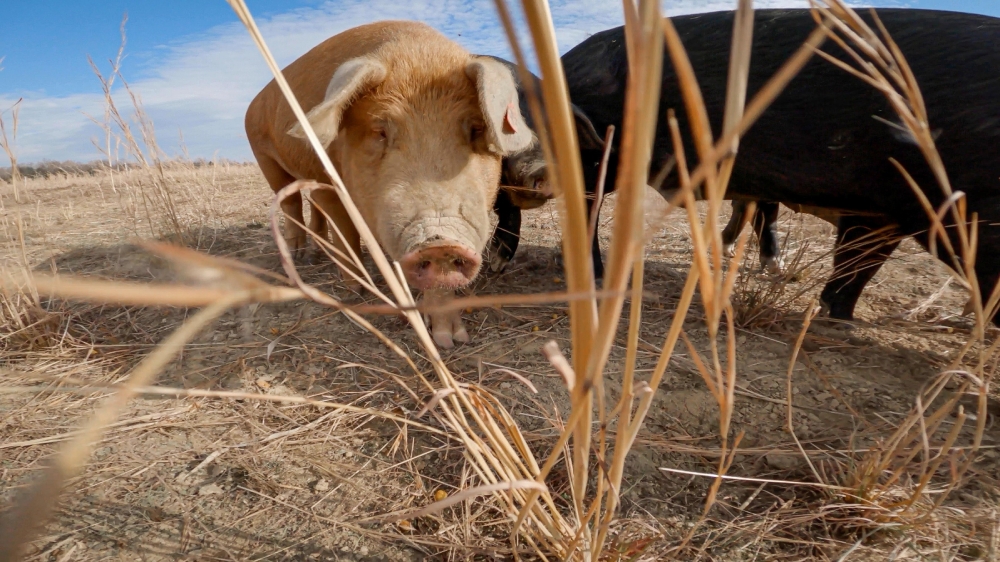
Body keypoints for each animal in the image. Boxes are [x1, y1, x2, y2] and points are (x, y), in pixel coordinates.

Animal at [245, 21, 533, 348]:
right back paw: (298, 255)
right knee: (290, 201)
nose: (440, 242)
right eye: (380, 131)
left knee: (312, 204)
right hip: (263, 153)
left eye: (475, 129)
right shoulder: (328, 180)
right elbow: (346, 232)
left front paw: (450, 340)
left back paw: (315, 253)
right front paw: (358, 291)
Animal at [497, 9, 1000, 325]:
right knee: (572, 207)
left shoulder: (882, 208)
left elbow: (854, 268)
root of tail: (564, 65)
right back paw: (586, 276)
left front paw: (837, 319)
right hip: (597, 152)